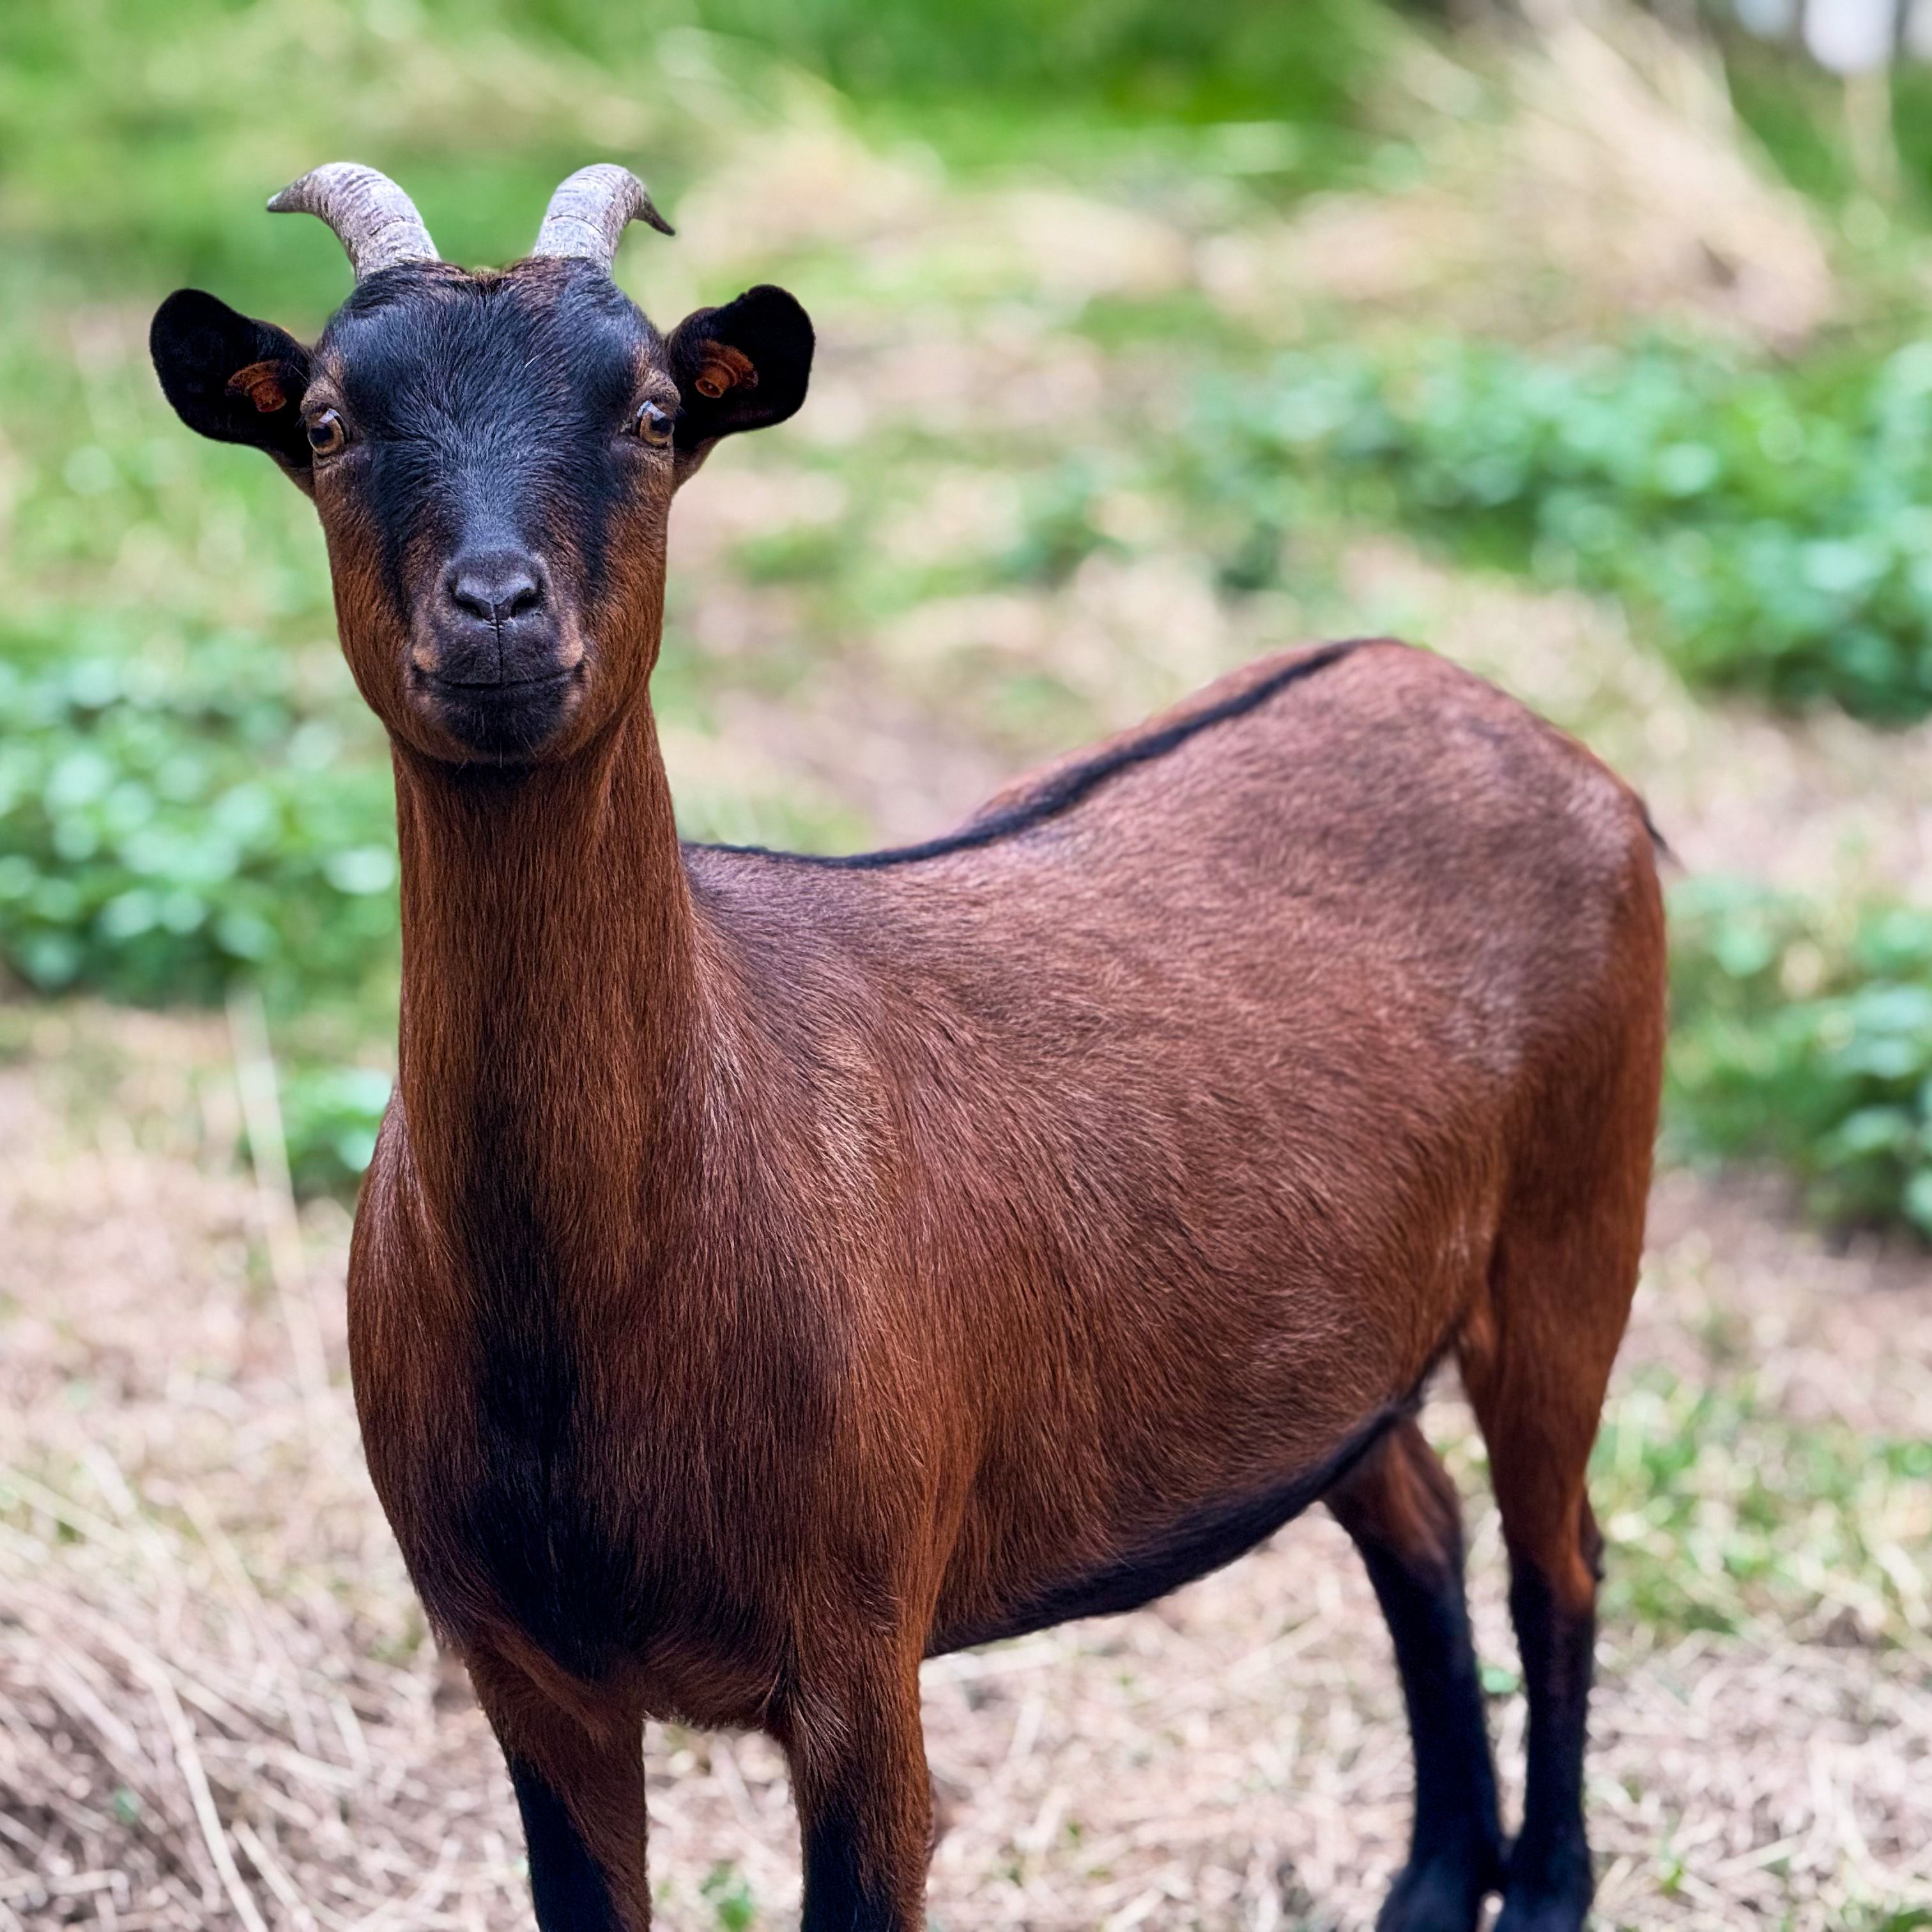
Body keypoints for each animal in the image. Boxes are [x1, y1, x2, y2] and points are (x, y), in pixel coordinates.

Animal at [151, 163, 1666, 1932]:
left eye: (652, 412)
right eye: (327, 421)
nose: (500, 613)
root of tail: (1519, 724)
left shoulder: (861, 1660)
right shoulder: (528, 1674)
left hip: (1578, 1224)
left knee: (1561, 1553)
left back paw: (1545, 1886)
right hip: (1339, 1327)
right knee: (1413, 1517)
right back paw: (1430, 1879)